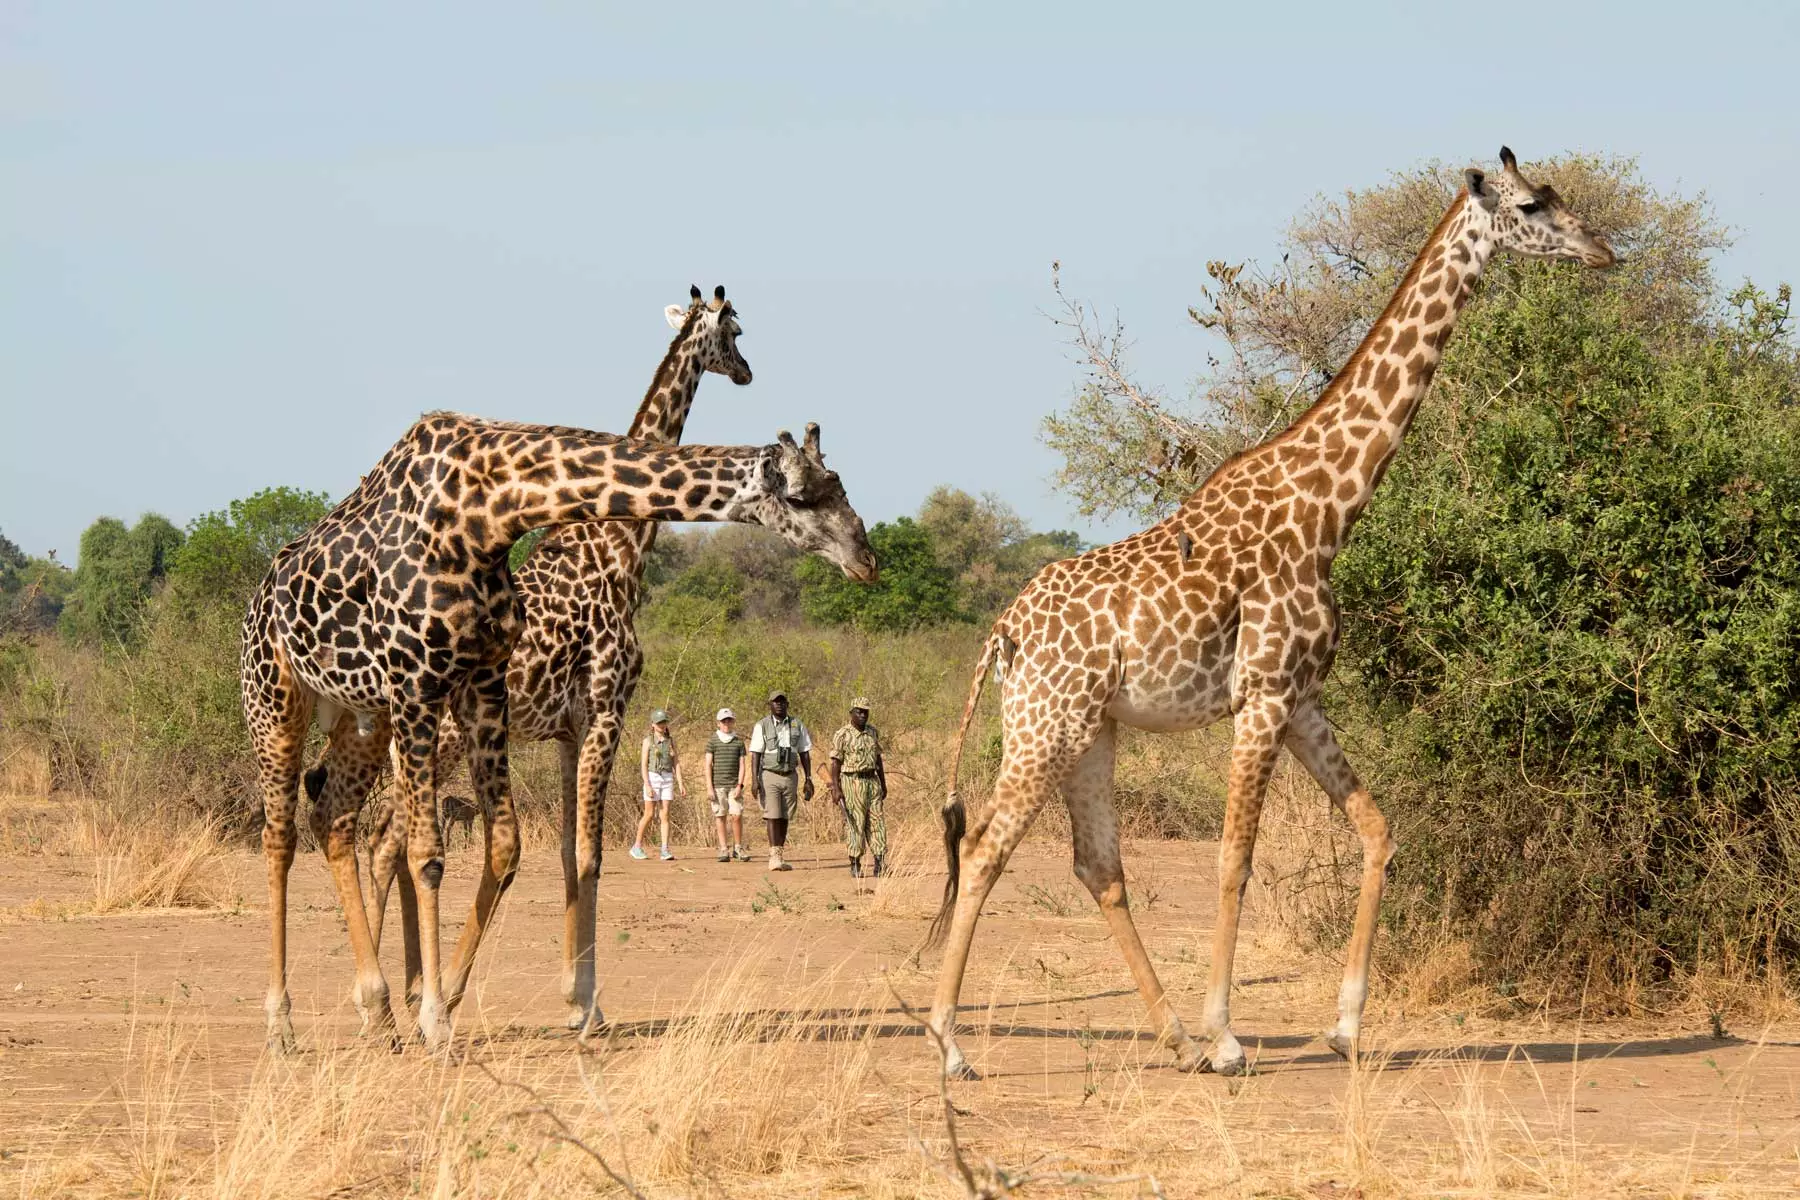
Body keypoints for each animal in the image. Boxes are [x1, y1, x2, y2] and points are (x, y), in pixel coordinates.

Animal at [246, 413, 878, 1050]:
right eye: (800, 496)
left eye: (841, 483)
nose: (867, 558)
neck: (488, 514)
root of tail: (259, 596)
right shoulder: (423, 684)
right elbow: (433, 854)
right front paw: (440, 1019)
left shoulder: (485, 685)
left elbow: (516, 846)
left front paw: (476, 1003)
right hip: (277, 700)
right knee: (284, 838)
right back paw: (283, 1024)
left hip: (362, 718)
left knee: (334, 817)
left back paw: (376, 1011)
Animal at [361, 284, 756, 1036]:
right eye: (738, 331)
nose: (749, 372)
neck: (622, 543)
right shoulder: (607, 705)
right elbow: (592, 856)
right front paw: (587, 1005)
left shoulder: (569, 729)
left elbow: (573, 856)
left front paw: (580, 999)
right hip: (443, 739)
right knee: (387, 846)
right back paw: (403, 1002)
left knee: (386, 847)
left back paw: (400, 997)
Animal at [928, 147, 1620, 1079]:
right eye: (1531, 206)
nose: (1603, 250)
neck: (1332, 504)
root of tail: (1002, 633)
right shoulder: (1259, 696)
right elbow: (1234, 860)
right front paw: (1229, 1037)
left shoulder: (1302, 699)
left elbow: (1378, 831)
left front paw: (1345, 1026)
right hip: (1048, 723)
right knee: (984, 847)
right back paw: (955, 1045)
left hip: (1090, 730)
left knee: (1097, 865)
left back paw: (1174, 1040)